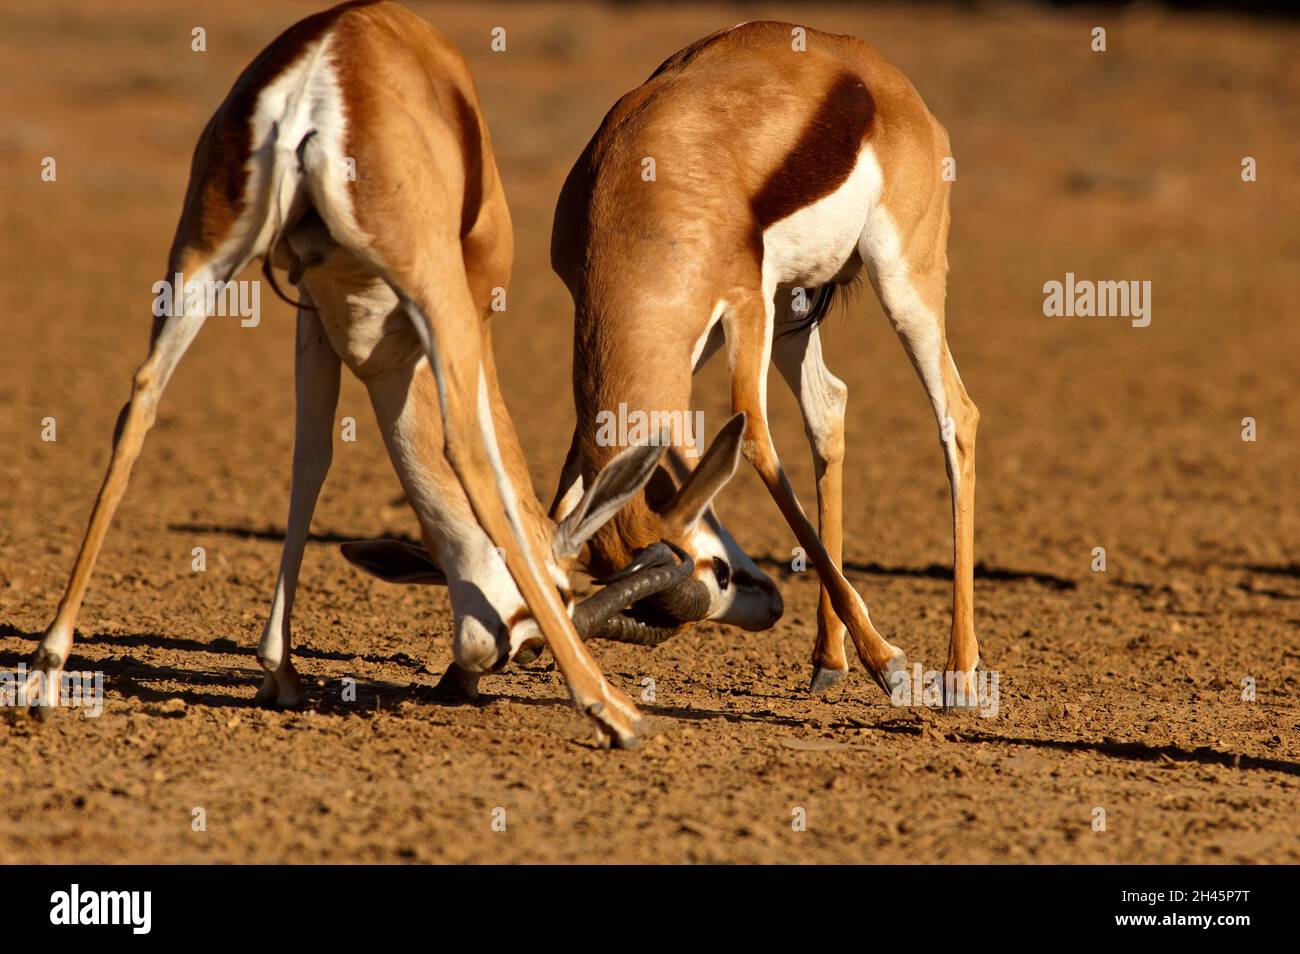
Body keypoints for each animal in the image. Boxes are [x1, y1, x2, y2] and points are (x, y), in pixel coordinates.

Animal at [22, 0, 701, 748]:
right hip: (429, 281)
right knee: (468, 448)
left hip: (199, 256)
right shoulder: (470, 305)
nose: (475, 672)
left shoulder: (313, 310)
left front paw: (279, 672)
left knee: (140, 400)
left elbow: (310, 459)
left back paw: (46, 672)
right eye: (558, 593)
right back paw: (613, 710)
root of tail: (323, 65)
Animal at [547, 21, 982, 704]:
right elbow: (571, 471)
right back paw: (828, 659)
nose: (767, 607)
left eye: (718, 571)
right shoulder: (701, 332)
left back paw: (959, 676)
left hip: (898, 282)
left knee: (956, 416)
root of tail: (879, 72)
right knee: (829, 410)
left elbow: (751, 435)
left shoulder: (745, 303)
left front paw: (889, 663)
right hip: (787, 308)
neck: (638, 192)